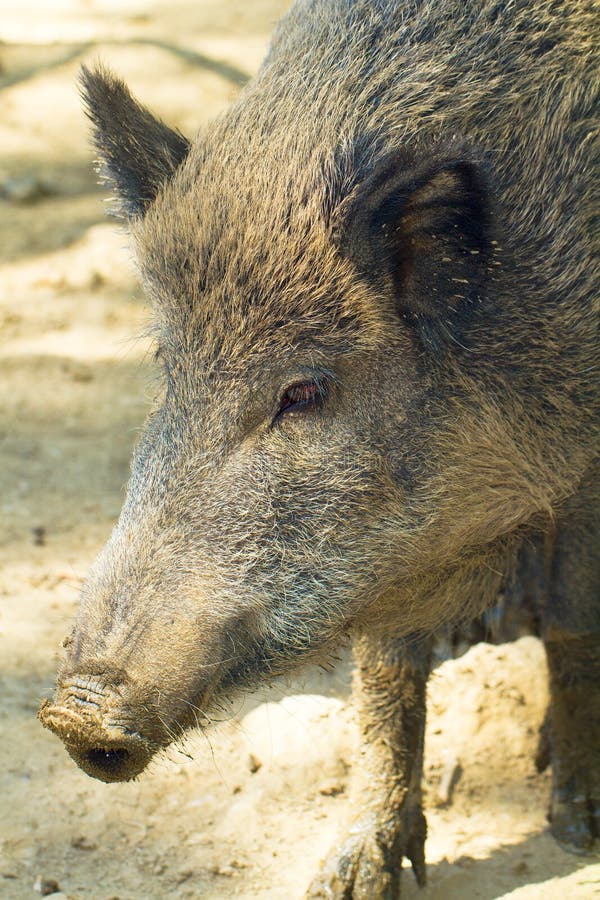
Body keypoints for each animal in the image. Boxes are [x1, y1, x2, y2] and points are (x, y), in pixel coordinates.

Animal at [39, 0, 599, 896]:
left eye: (303, 391)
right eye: (168, 362)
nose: (74, 710)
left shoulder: (585, 472)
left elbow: (577, 631)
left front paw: (577, 832)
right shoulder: (385, 558)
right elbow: (385, 678)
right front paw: (350, 877)